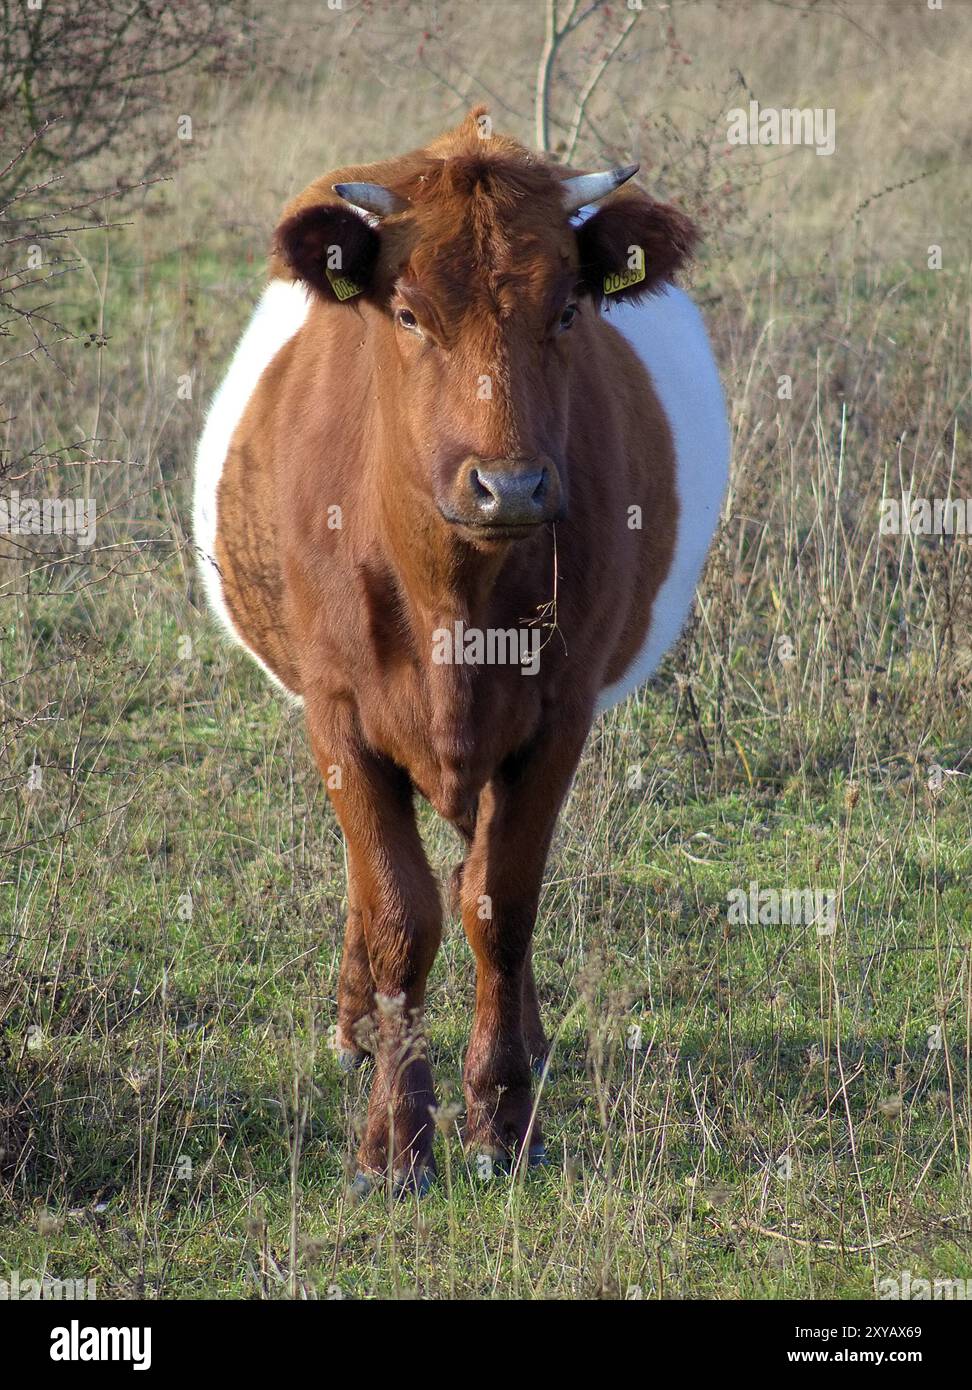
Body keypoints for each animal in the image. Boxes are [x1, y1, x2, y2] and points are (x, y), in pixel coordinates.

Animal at [193, 106, 729, 1195]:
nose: (510, 485)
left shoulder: (557, 716)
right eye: (405, 313)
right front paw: (393, 1142)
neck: (453, 596)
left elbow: (497, 904)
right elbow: (401, 912)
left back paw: (527, 1035)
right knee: (374, 888)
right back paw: (356, 1026)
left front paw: (503, 1119)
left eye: (567, 312)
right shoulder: (338, 713)